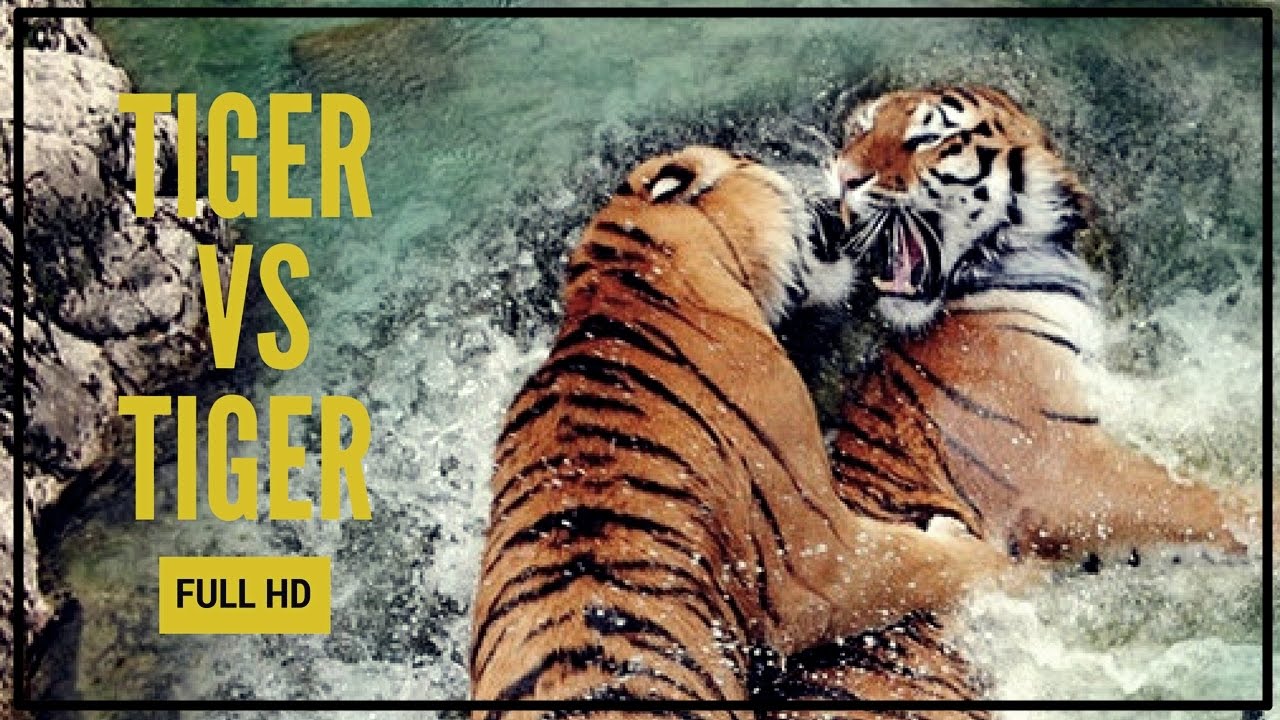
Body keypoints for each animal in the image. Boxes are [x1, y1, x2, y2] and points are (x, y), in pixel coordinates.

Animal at [469, 145, 1016, 718]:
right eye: (751, 161)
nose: (836, 184)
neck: (620, 279)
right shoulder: (820, 558)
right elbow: (940, 563)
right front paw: (1000, 561)